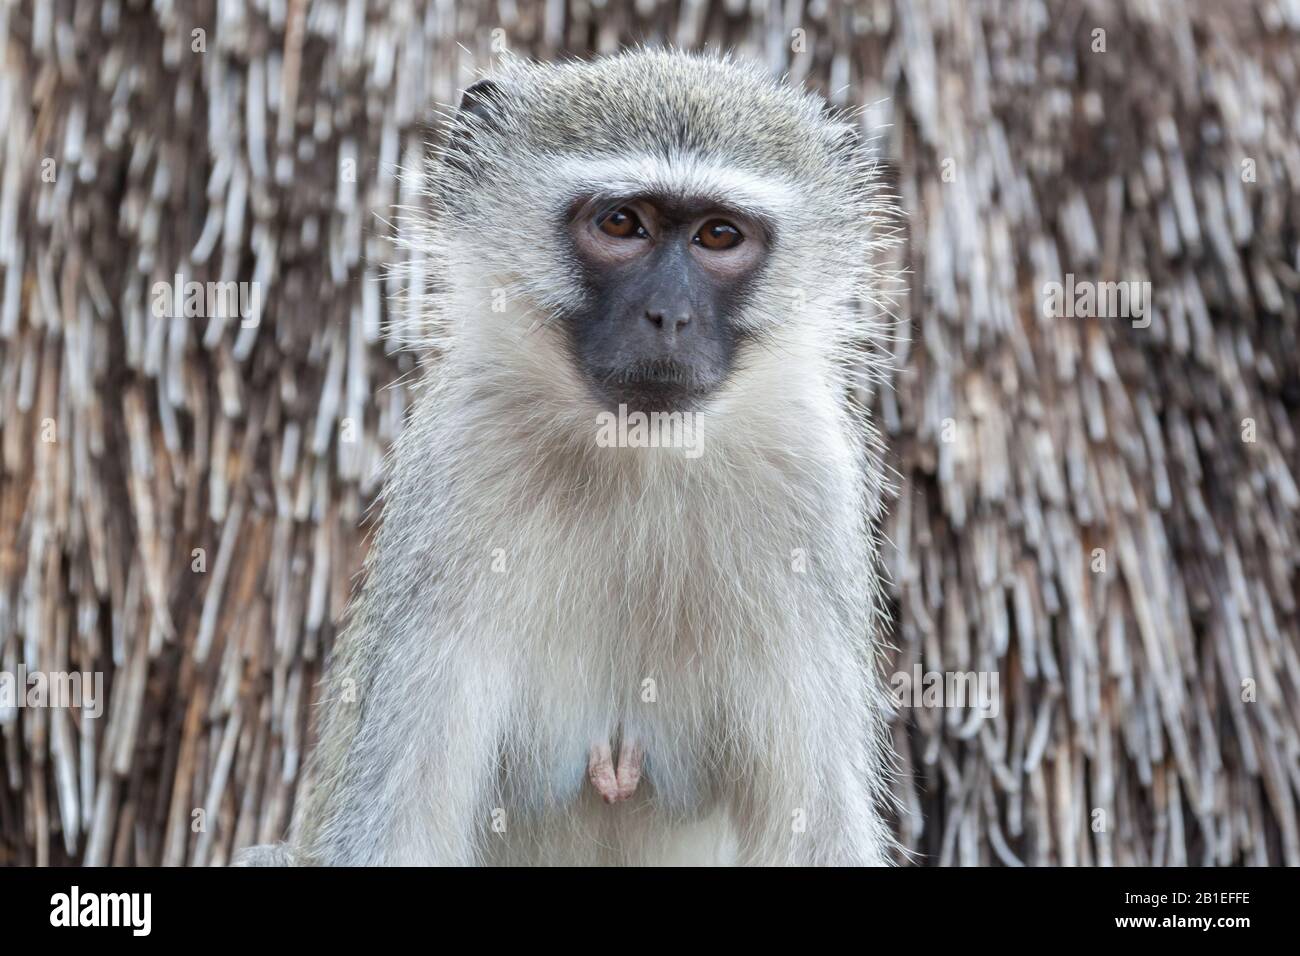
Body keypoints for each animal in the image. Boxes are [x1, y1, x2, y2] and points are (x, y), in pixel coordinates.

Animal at [235, 48, 898, 867]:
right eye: (621, 223)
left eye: (718, 235)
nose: (669, 317)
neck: (637, 456)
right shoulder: (462, 463)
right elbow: (399, 832)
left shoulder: (809, 482)